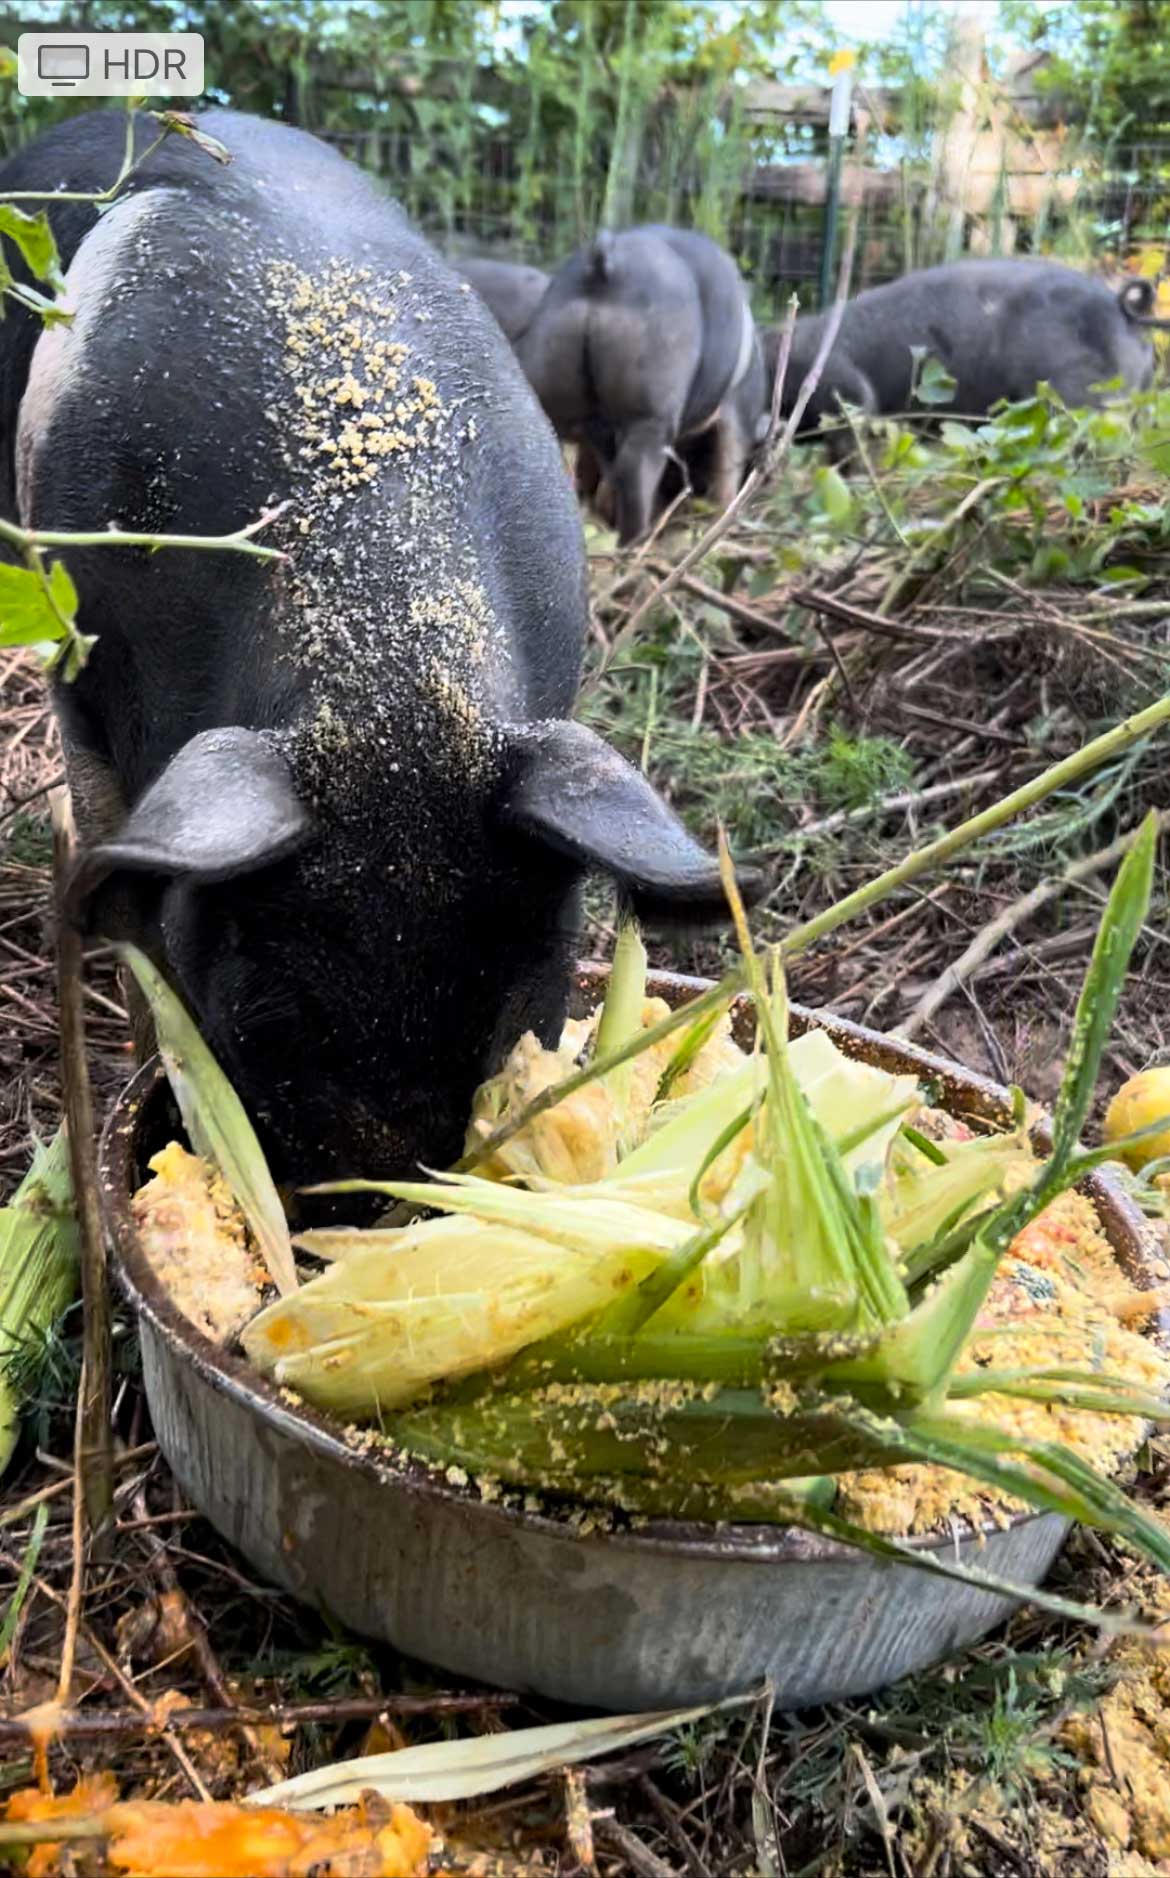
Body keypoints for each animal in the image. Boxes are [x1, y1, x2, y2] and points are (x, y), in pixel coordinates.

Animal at [515, 224, 766, 545]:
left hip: (544, 374)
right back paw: (636, 541)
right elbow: (726, 475)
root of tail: (605, 262)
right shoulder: (738, 416)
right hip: (650, 410)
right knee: (633, 472)